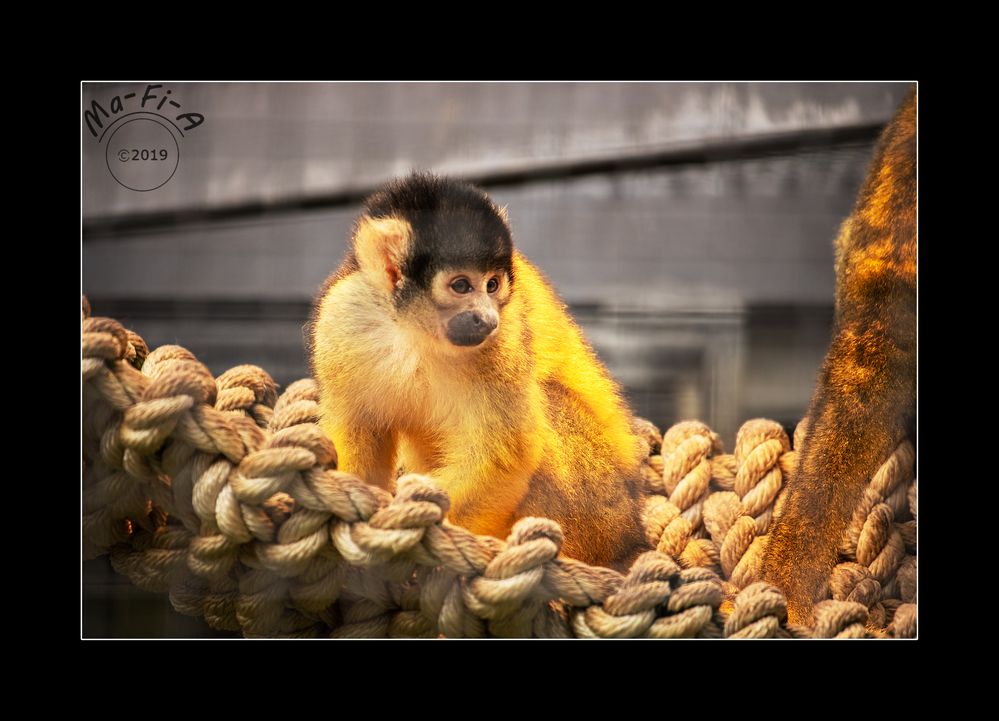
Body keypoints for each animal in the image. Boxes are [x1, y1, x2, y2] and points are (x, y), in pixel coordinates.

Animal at [306, 172, 649, 570]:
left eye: (492, 285)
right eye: (461, 285)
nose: (487, 318)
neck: (416, 331)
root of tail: (632, 533)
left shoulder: (505, 339)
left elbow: (506, 449)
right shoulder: (342, 315)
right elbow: (358, 427)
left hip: (605, 509)